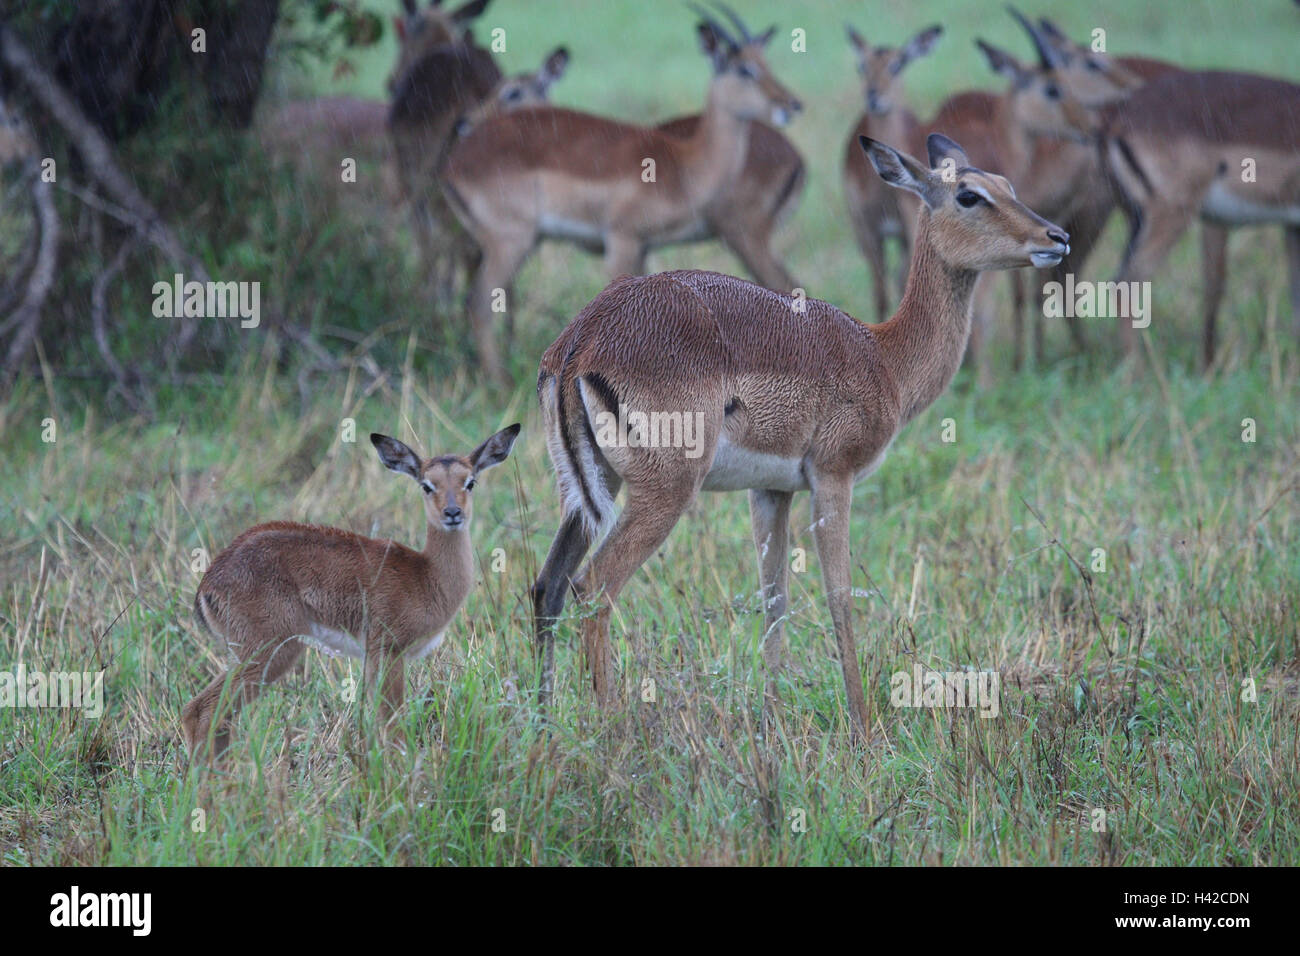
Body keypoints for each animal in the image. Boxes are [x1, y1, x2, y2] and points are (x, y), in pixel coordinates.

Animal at [181, 425, 520, 760]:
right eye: (427, 485)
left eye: (470, 482)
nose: (452, 513)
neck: (427, 574)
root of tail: (208, 583)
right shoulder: (386, 652)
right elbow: (392, 728)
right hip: (269, 651)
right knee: (200, 710)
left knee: (216, 719)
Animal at [440, 6, 802, 382]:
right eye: (745, 68)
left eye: (764, 61)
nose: (791, 104)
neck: (683, 164)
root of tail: (454, 160)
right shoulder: (621, 241)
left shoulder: (642, 249)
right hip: (512, 239)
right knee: (478, 302)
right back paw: (498, 383)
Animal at [529, 134, 1069, 740]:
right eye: (969, 195)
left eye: (1007, 184)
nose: (1056, 237)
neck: (882, 356)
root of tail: (582, 338)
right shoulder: (833, 477)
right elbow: (840, 597)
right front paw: (863, 729)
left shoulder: (771, 490)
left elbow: (774, 600)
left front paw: (771, 723)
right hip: (662, 493)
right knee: (594, 588)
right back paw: (611, 731)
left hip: (589, 492)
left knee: (549, 585)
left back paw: (545, 726)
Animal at [841, 23, 944, 321]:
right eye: (861, 66)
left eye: (897, 65)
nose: (874, 96)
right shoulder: (869, 232)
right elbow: (879, 291)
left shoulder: (909, 232)